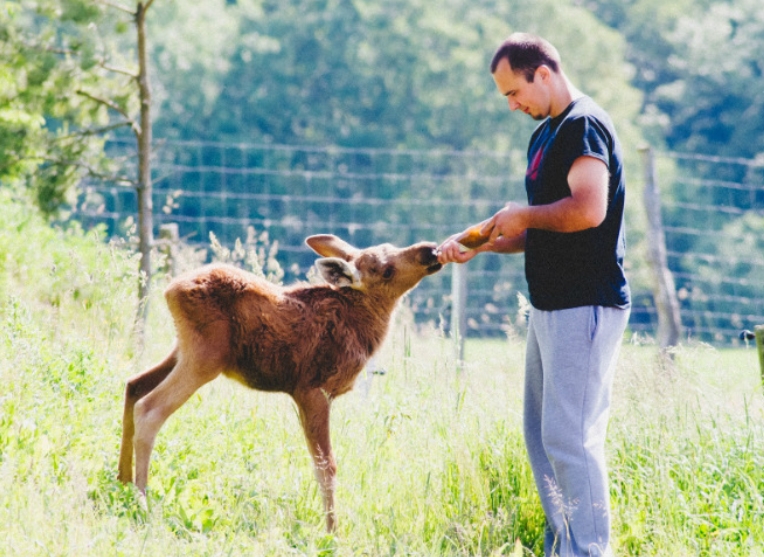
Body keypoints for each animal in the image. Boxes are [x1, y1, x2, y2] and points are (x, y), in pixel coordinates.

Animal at [117, 234, 442, 532]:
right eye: (386, 270)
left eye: (392, 246)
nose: (429, 250)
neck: (364, 326)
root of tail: (170, 290)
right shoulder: (313, 389)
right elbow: (326, 465)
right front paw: (332, 531)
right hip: (204, 358)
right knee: (149, 408)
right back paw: (142, 502)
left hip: (182, 350)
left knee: (133, 385)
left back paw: (122, 483)